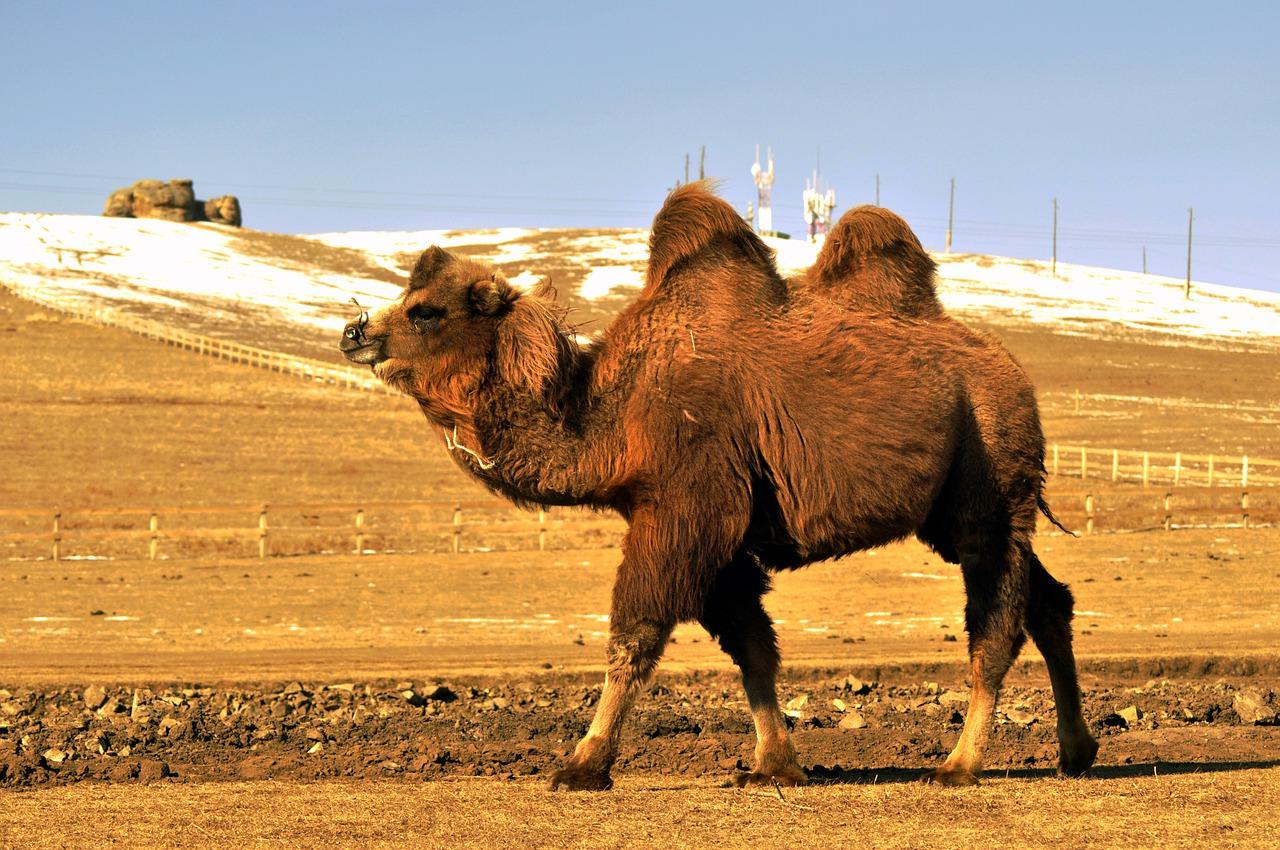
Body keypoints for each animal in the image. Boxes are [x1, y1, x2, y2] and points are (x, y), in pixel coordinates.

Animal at [339, 183, 1098, 790]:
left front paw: (583, 765)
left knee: (996, 616)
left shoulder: (688, 502)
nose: (352, 332)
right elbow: (752, 648)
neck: (610, 413)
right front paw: (775, 765)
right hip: (954, 504)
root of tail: (1011, 370)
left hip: (988, 473)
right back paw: (1076, 749)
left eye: (426, 311)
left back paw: (960, 764)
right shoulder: (718, 532)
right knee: (1047, 599)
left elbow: (636, 634)